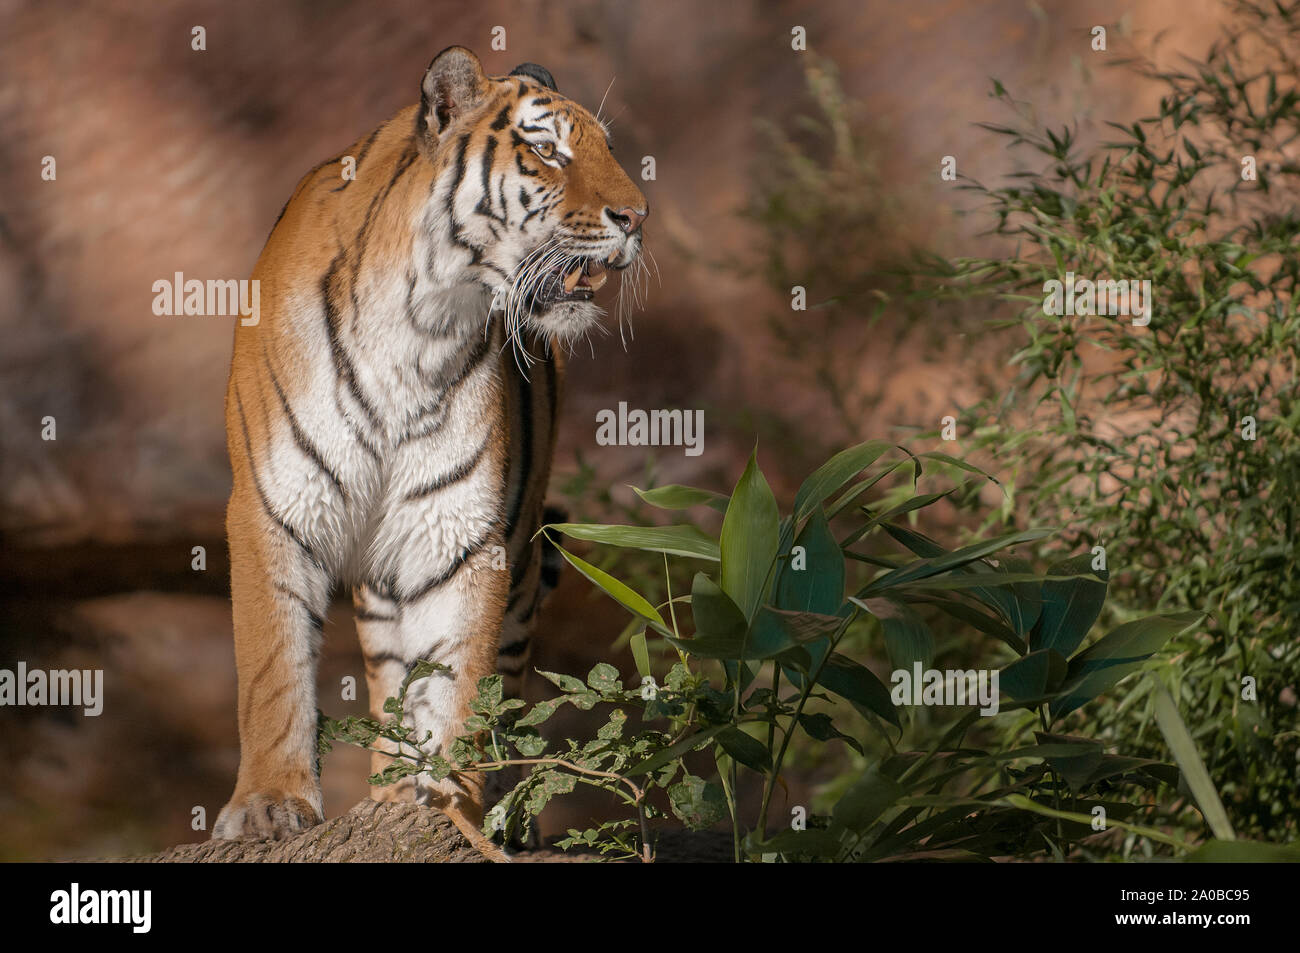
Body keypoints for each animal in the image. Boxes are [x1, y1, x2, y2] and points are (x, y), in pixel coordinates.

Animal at [212, 46, 649, 851]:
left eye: (606, 147)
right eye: (548, 150)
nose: (637, 217)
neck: (418, 318)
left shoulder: (461, 529)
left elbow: (459, 686)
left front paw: (449, 810)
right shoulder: (272, 505)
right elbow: (271, 669)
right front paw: (267, 805)